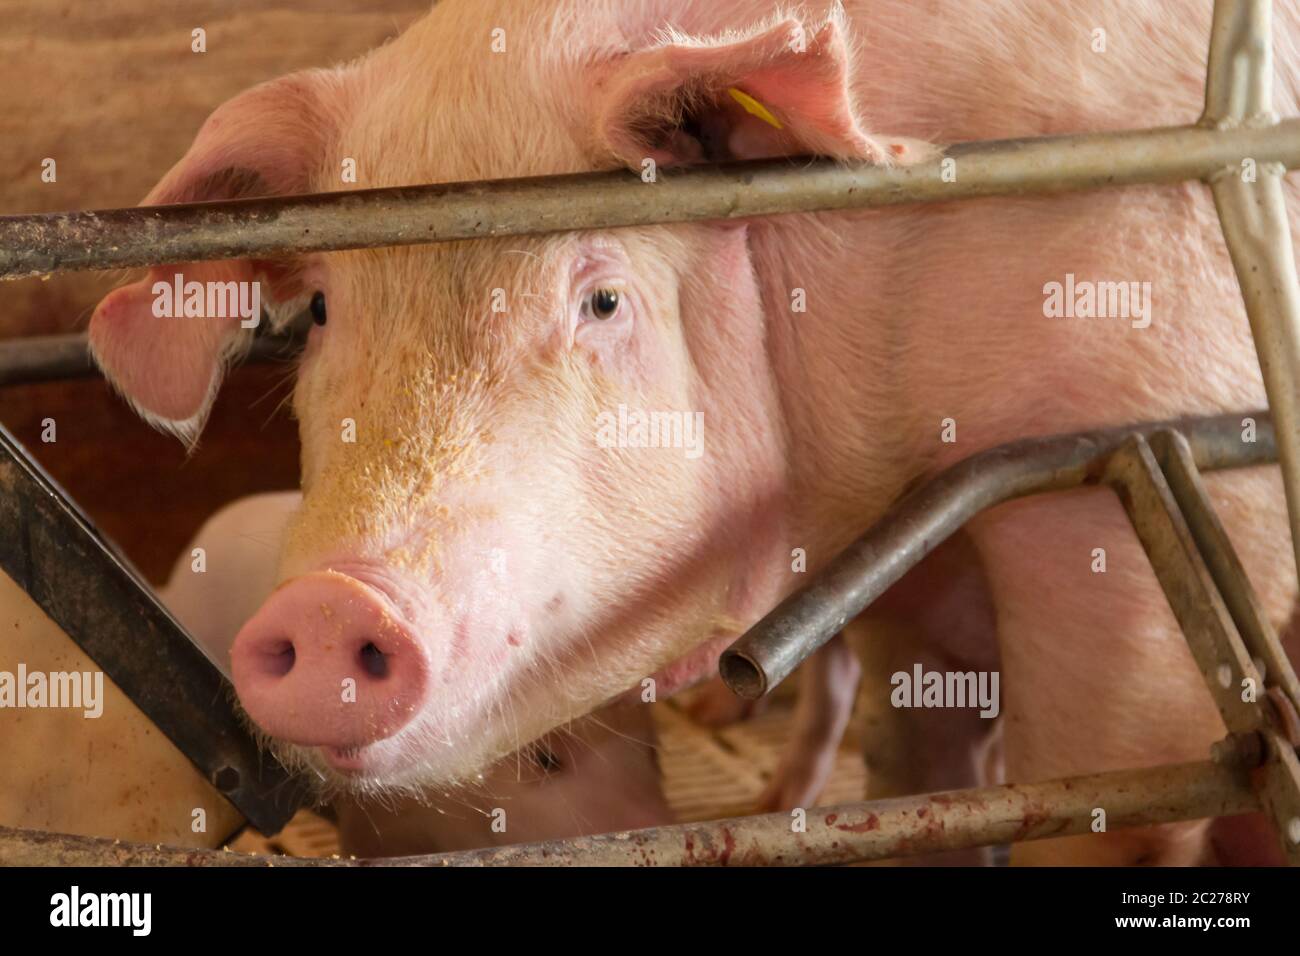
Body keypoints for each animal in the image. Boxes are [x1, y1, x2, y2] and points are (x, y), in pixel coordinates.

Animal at [90, 0, 1300, 866]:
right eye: (323, 312)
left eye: (602, 299)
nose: (330, 605)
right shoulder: (908, 588)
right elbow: (928, 773)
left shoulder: (1122, 483)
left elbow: (1109, 799)